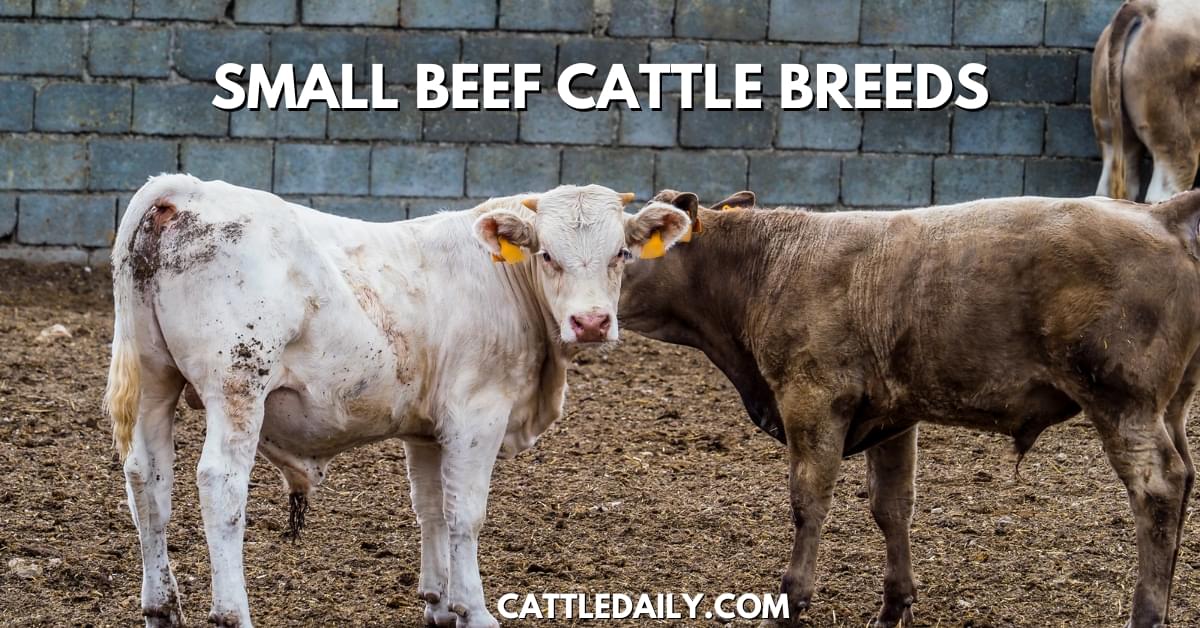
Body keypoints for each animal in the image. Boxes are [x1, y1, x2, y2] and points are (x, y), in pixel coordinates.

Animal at [103, 175, 691, 628]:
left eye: (621, 254)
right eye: (548, 255)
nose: (591, 322)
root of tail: (189, 190)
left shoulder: (427, 429)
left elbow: (431, 508)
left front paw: (439, 604)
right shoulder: (477, 416)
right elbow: (465, 514)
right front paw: (474, 610)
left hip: (155, 380)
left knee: (147, 480)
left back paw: (160, 607)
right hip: (237, 386)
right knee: (219, 485)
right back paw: (232, 613)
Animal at [619, 189, 1200, 627]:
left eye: (626, 249)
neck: (771, 265)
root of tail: (1157, 212)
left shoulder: (813, 398)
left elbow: (809, 503)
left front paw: (792, 602)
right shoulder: (894, 415)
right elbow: (891, 505)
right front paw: (894, 605)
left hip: (1122, 400)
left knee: (1159, 486)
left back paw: (1146, 614)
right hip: (1171, 405)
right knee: (1186, 477)